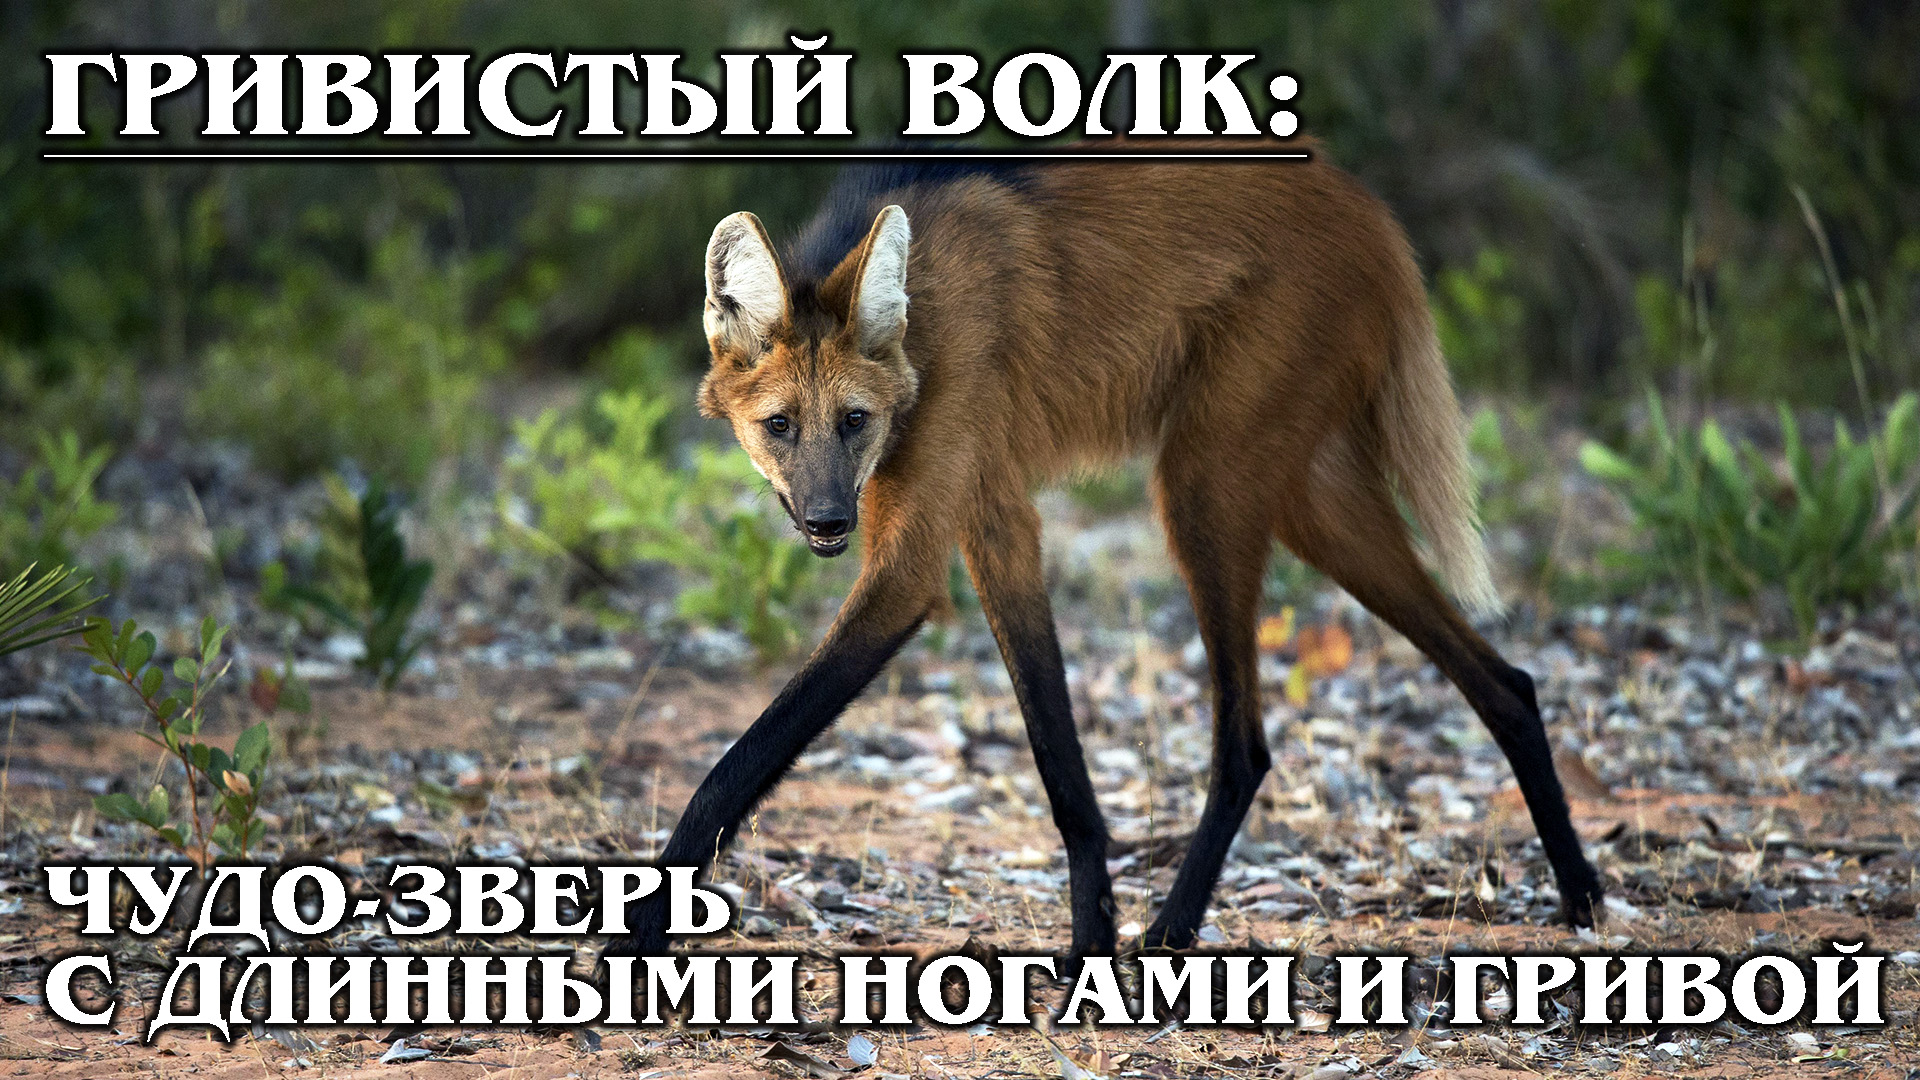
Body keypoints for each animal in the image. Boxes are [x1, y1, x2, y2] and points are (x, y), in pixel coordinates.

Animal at [616, 143, 1603, 961]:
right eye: (780, 426)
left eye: (853, 422)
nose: (826, 521)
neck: (922, 320)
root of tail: (1365, 204)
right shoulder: (996, 521)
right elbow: (1060, 757)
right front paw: (1091, 935)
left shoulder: (914, 558)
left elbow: (738, 762)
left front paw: (645, 926)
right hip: (1309, 497)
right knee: (1506, 683)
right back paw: (1582, 893)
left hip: (1204, 484)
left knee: (1246, 744)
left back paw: (1174, 929)